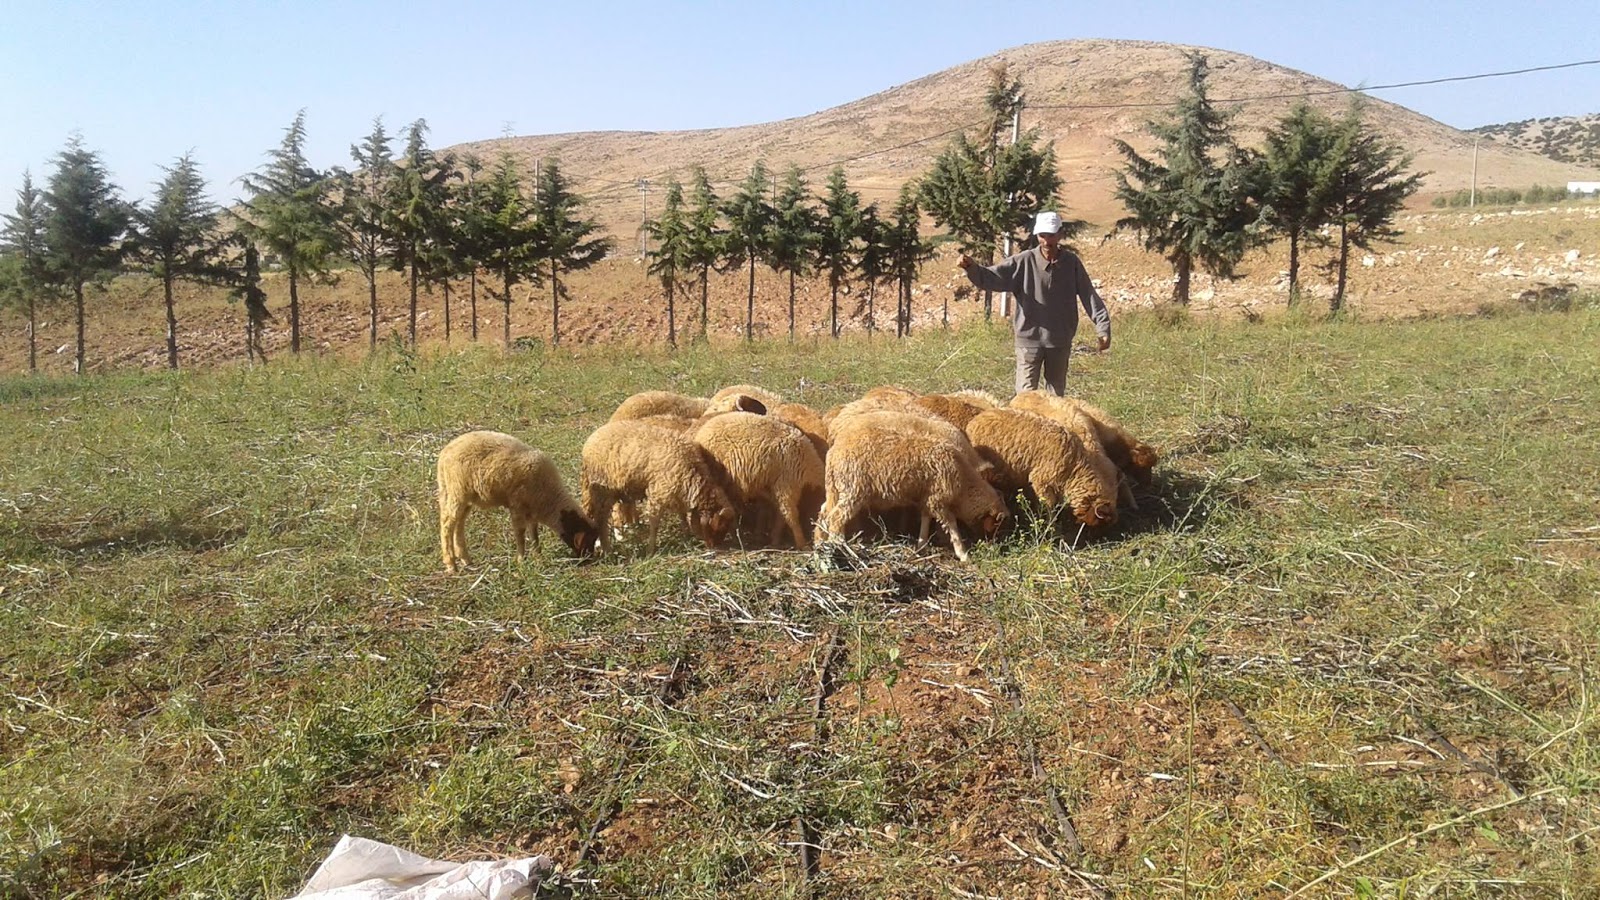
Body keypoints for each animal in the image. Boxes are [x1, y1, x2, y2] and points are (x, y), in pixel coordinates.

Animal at [436, 430, 598, 573]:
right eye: (588, 540)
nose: (588, 560)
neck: (549, 499)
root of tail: (444, 454)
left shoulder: (532, 510)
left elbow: (534, 534)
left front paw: (538, 557)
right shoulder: (517, 506)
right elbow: (520, 534)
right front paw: (521, 560)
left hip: (463, 496)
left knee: (459, 523)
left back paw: (466, 559)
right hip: (457, 492)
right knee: (447, 523)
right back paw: (451, 564)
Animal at [580, 420, 737, 554]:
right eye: (719, 526)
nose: (715, 548)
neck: (692, 470)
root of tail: (591, 438)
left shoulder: (678, 492)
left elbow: (682, 515)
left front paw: (687, 534)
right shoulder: (658, 494)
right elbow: (654, 524)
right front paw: (651, 550)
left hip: (612, 492)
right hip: (602, 490)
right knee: (601, 520)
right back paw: (607, 549)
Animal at [693, 411, 825, 548]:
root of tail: (702, 432)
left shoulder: (777, 487)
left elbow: (779, 514)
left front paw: (775, 539)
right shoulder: (787, 486)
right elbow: (790, 516)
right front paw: (802, 543)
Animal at [817, 410, 1007, 562]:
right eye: (997, 527)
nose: (994, 546)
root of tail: (834, 453)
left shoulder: (928, 498)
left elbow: (926, 518)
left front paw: (921, 545)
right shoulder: (938, 500)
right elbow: (952, 525)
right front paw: (962, 553)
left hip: (838, 490)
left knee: (825, 512)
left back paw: (821, 542)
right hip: (853, 490)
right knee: (836, 518)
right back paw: (839, 545)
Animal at [964, 408, 1118, 528]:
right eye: (1101, 522)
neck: (1074, 467)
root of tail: (974, 421)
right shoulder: (1041, 481)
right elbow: (1049, 505)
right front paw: (1050, 524)